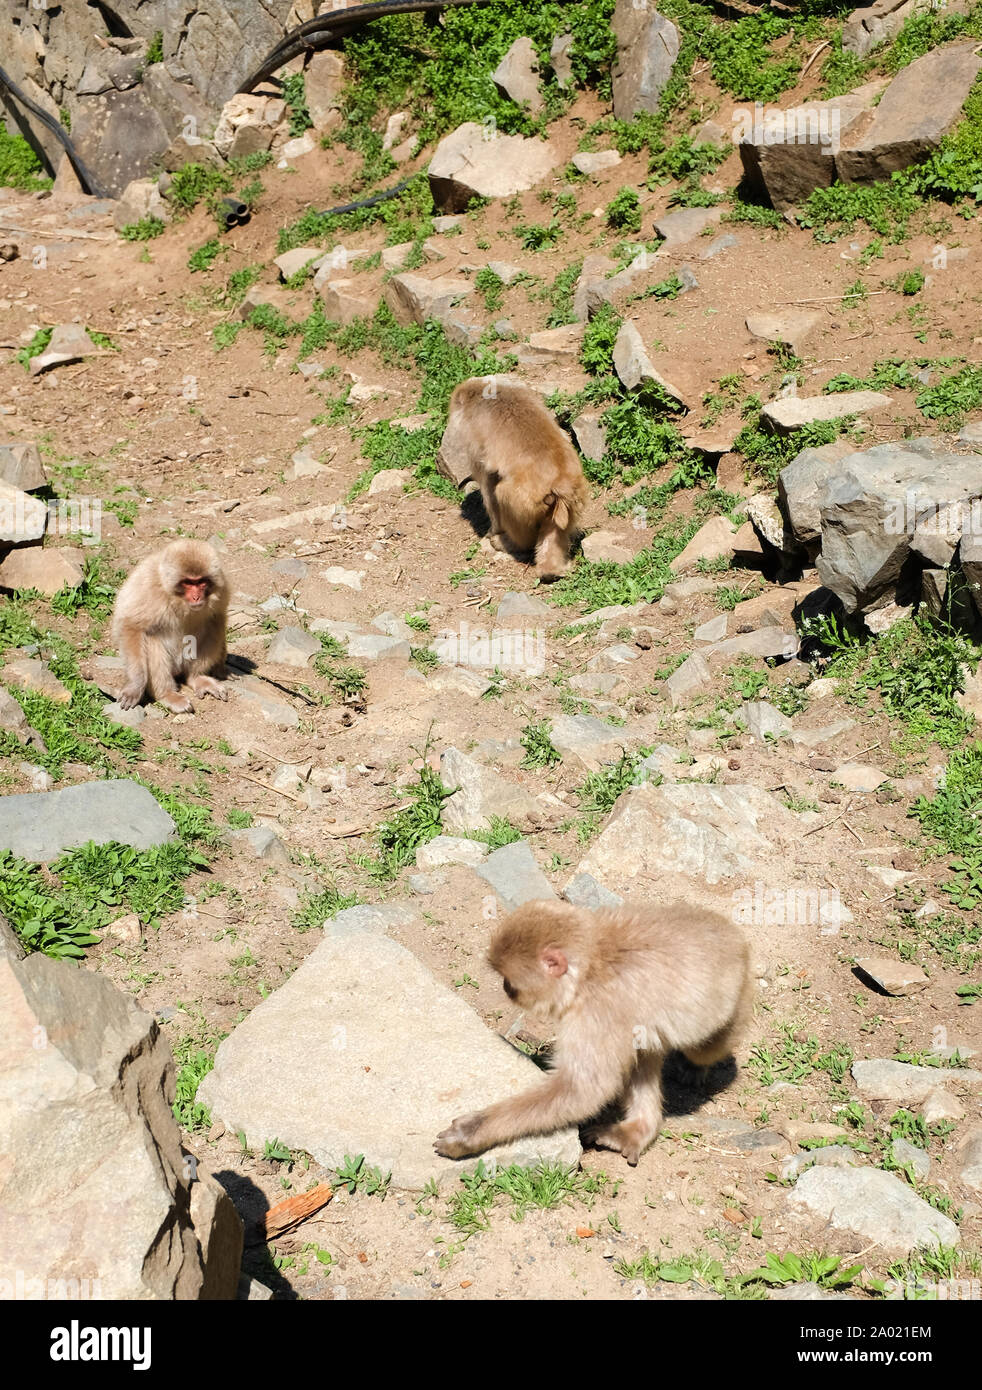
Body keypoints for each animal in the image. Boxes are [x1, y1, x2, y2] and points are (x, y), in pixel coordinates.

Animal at [112, 539, 230, 714]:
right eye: (188, 582)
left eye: (201, 582)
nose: (196, 597)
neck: (176, 598)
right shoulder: (148, 589)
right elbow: (132, 626)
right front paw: (135, 685)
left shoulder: (222, 588)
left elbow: (218, 616)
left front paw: (220, 668)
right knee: (151, 638)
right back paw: (166, 694)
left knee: (214, 624)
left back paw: (196, 677)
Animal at [435, 899, 753, 1166]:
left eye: (511, 983)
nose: (505, 990)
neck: (591, 963)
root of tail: (738, 938)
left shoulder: (597, 1014)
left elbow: (582, 1090)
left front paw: (473, 1131)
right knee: (645, 1049)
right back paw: (640, 1128)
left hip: (732, 1001)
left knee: (705, 1049)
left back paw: (696, 1065)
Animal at [442, 377, 589, 581]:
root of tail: (561, 480)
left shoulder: (473, 439)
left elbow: (487, 482)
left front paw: (492, 531)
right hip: (574, 497)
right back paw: (551, 570)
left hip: (523, 501)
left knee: (502, 493)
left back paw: (510, 543)